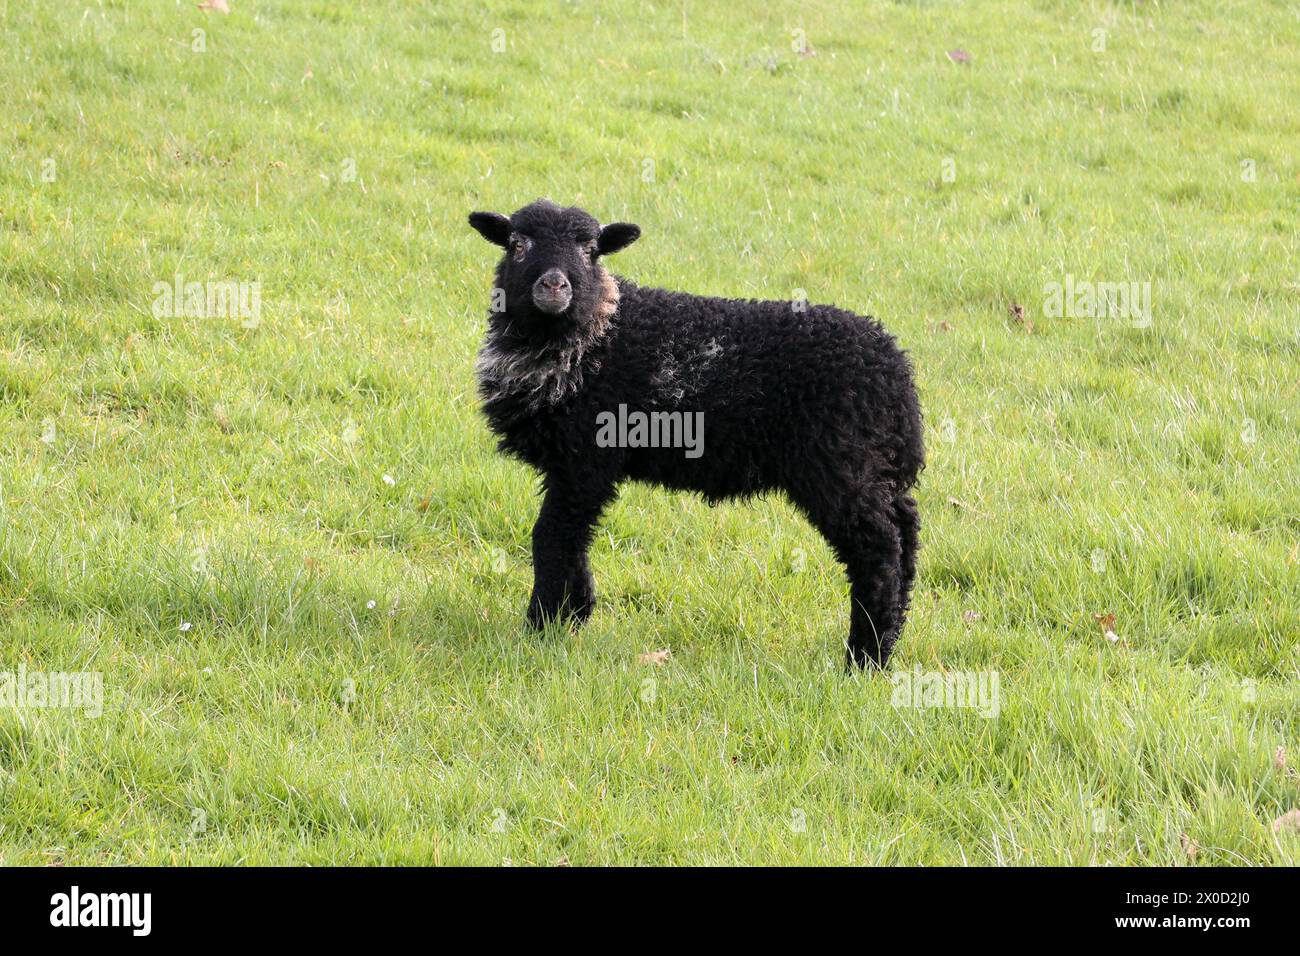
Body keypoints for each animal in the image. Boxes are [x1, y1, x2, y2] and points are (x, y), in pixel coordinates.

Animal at [468, 199, 924, 668]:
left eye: (590, 250)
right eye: (517, 244)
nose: (555, 285)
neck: (592, 337)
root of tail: (895, 370)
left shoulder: (585, 460)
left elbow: (552, 536)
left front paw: (541, 625)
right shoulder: (573, 468)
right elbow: (572, 538)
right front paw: (574, 613)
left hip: (839, 465)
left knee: (878, 550)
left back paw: (865, 656)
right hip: (874, 469)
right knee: (906, 532)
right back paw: (892, 636)